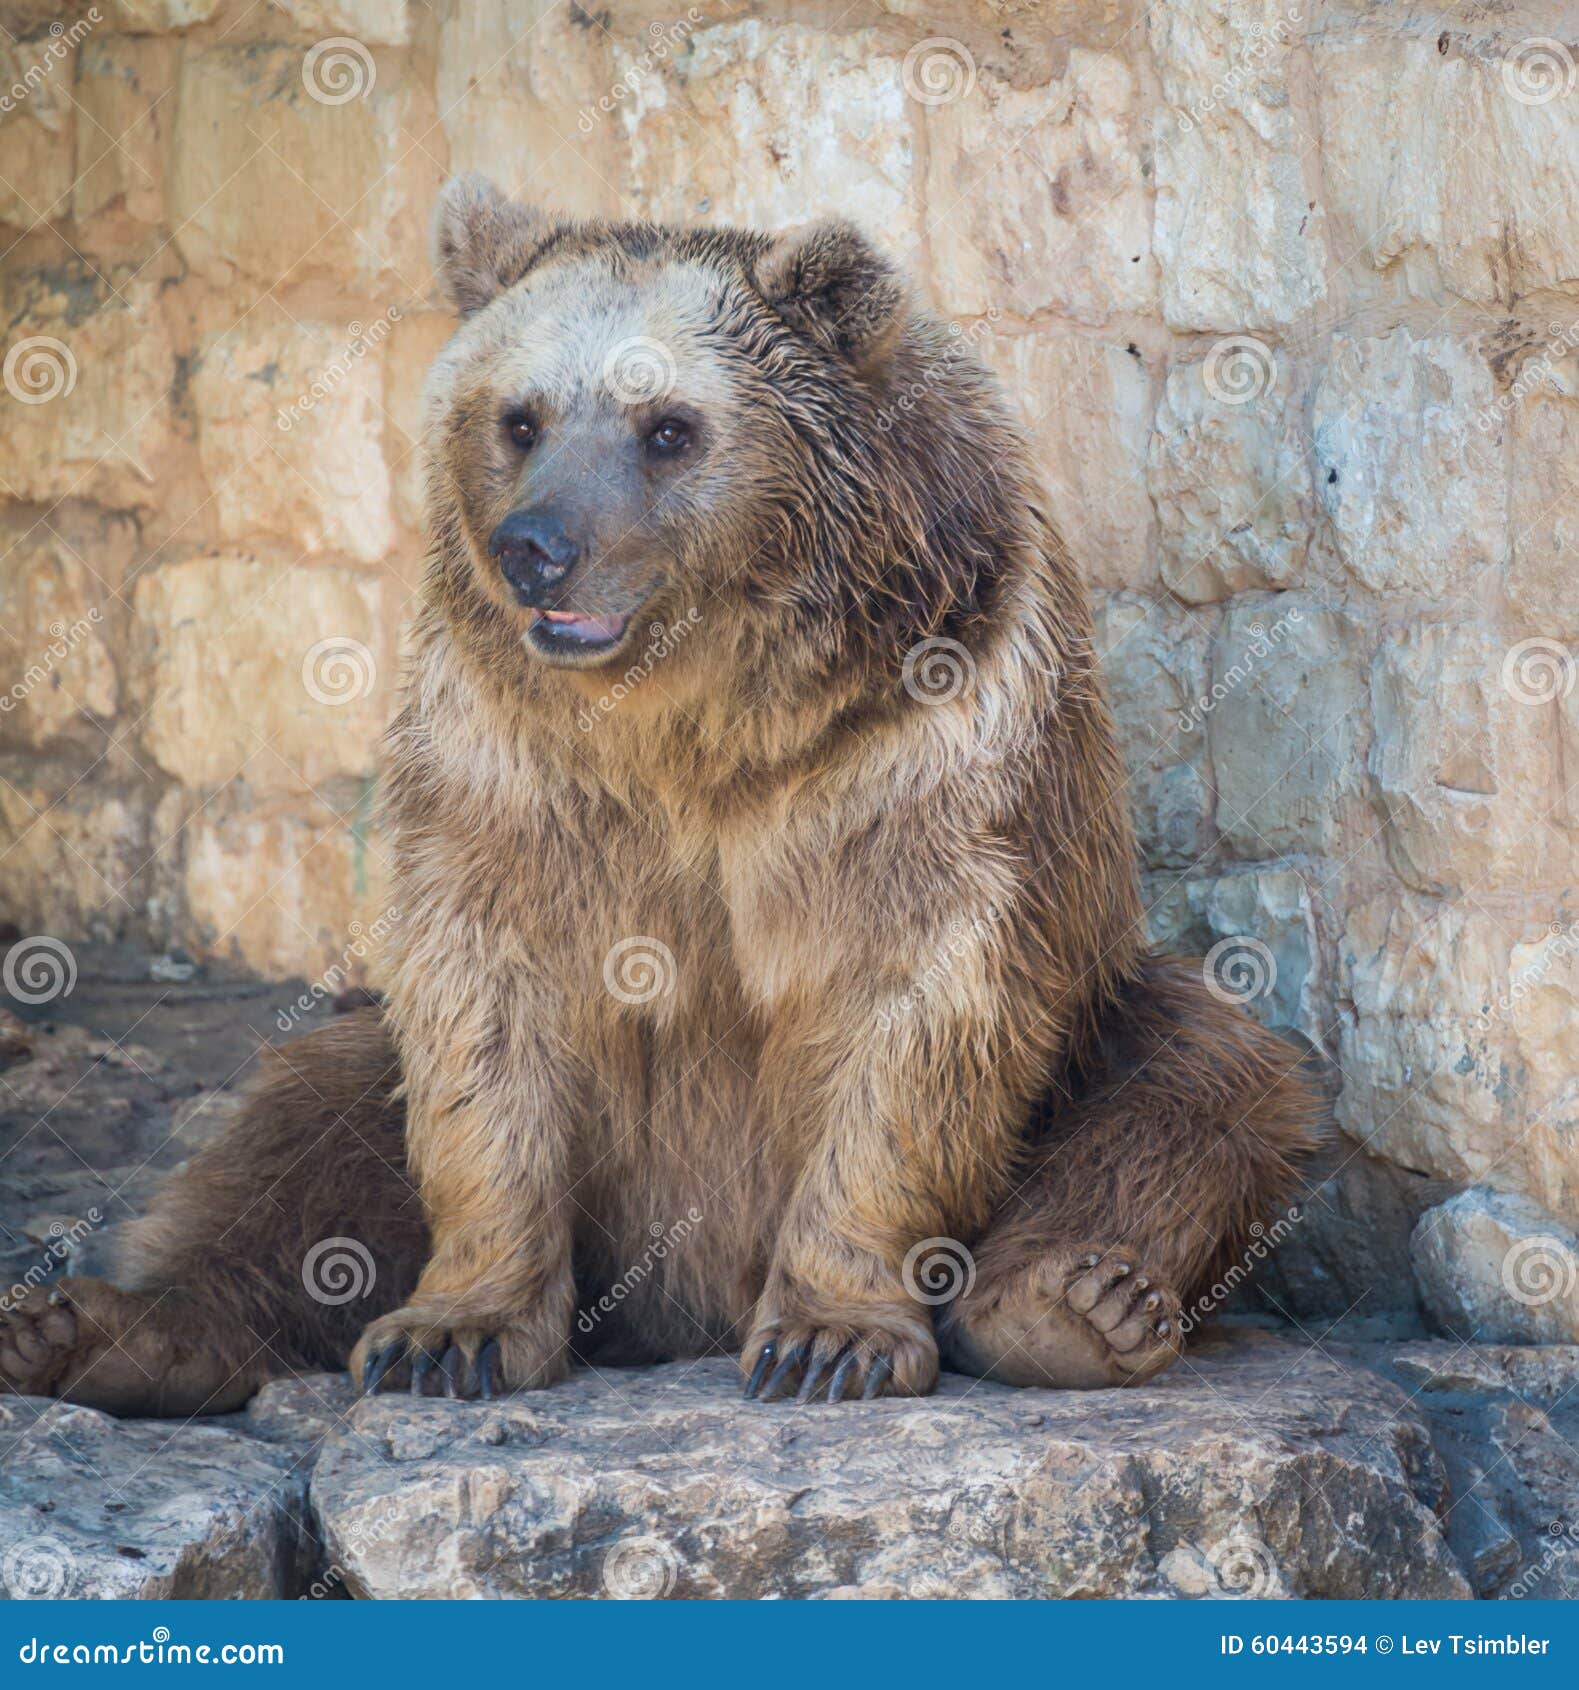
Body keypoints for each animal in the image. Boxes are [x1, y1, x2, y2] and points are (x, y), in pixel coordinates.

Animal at [0, 176, 1321, 1415]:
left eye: (669, 426)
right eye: (519, 417)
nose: (537, 546)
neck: (696, 721)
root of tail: (675, 1311)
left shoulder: (927, 737)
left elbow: (926, 1005)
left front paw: (828, 1339)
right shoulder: (510, 764)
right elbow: (477, 1013)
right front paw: (452, 1334)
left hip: (1104, 1014)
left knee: (1202, 1073)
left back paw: (1075, 1303)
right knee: (295, 1126)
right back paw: (95, 1330)